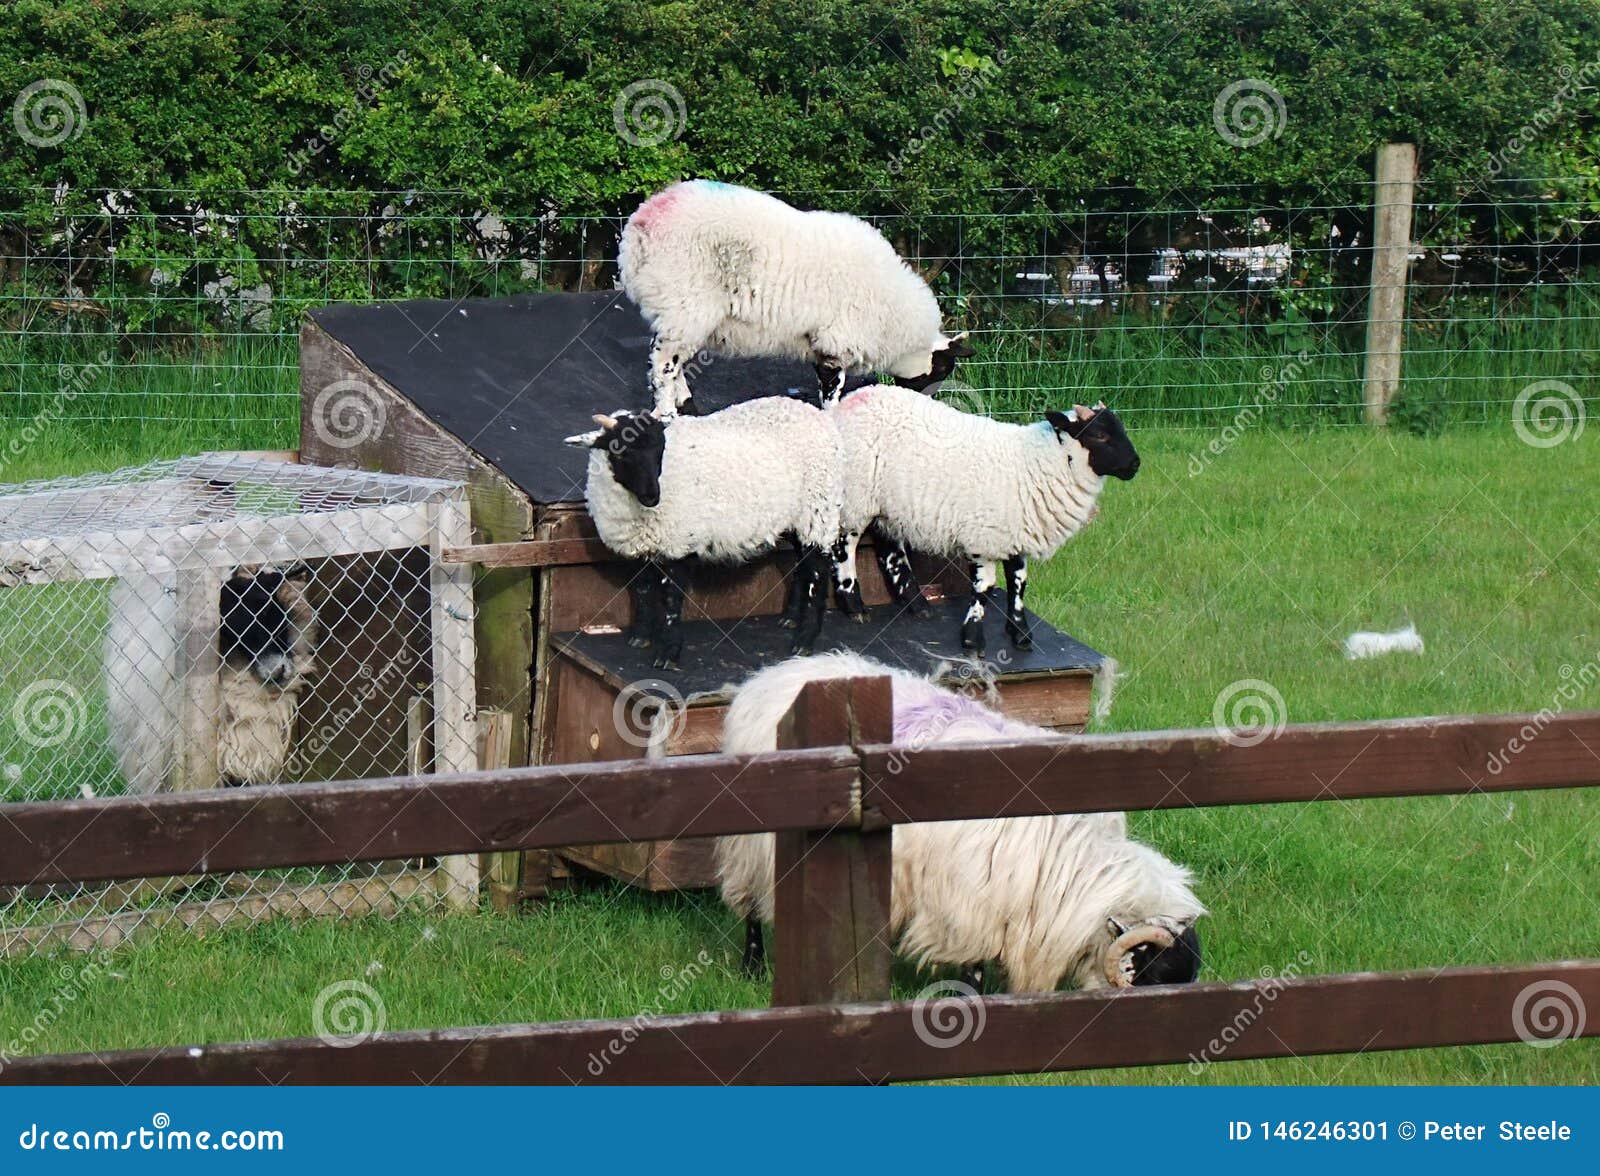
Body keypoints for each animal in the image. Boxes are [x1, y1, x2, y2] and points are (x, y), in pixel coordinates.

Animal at [564, 396, 844, 670]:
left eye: (660, 451)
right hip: (798, 519)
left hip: (819, 509)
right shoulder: (639, 546)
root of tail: (814, 413)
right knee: (803, 566)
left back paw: (805, 640)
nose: (653, 497)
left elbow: (671, 600)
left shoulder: (678, 542)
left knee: (818, 573)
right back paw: (791, 619)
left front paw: (668, 653)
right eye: (622, 452)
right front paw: (640, 637)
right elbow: (642, 589)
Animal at [618, 180, 974, 416]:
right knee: (663, 363)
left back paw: (687, 404)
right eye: (942, 371)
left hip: (678, 310)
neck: (893, 318)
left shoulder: (821, 343)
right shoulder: (836, 343)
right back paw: (668, 411)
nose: (926, 405)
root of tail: (642, 222)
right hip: (684, 301)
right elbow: (831, 392)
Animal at [715, 652, 1206, 992]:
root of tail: (775, 673)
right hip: (753, 846)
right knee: (752, 907)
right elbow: (972, 965)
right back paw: (754, 968)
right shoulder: (969, 903)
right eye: (1156, 974)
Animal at [826, 385, 1140, 652]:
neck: (1036, 462)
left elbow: (1019, 582)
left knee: (889, 552)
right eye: (1098, 434)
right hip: (855, 496)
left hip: (888, 505)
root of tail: (848, 401)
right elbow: (985, 587)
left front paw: (1020, 633)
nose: (1136, 465)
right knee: (844, 546)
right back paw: (854, 604)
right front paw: (973, 637)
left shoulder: (1015, 532)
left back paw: (918, 604)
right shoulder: (982, 536)